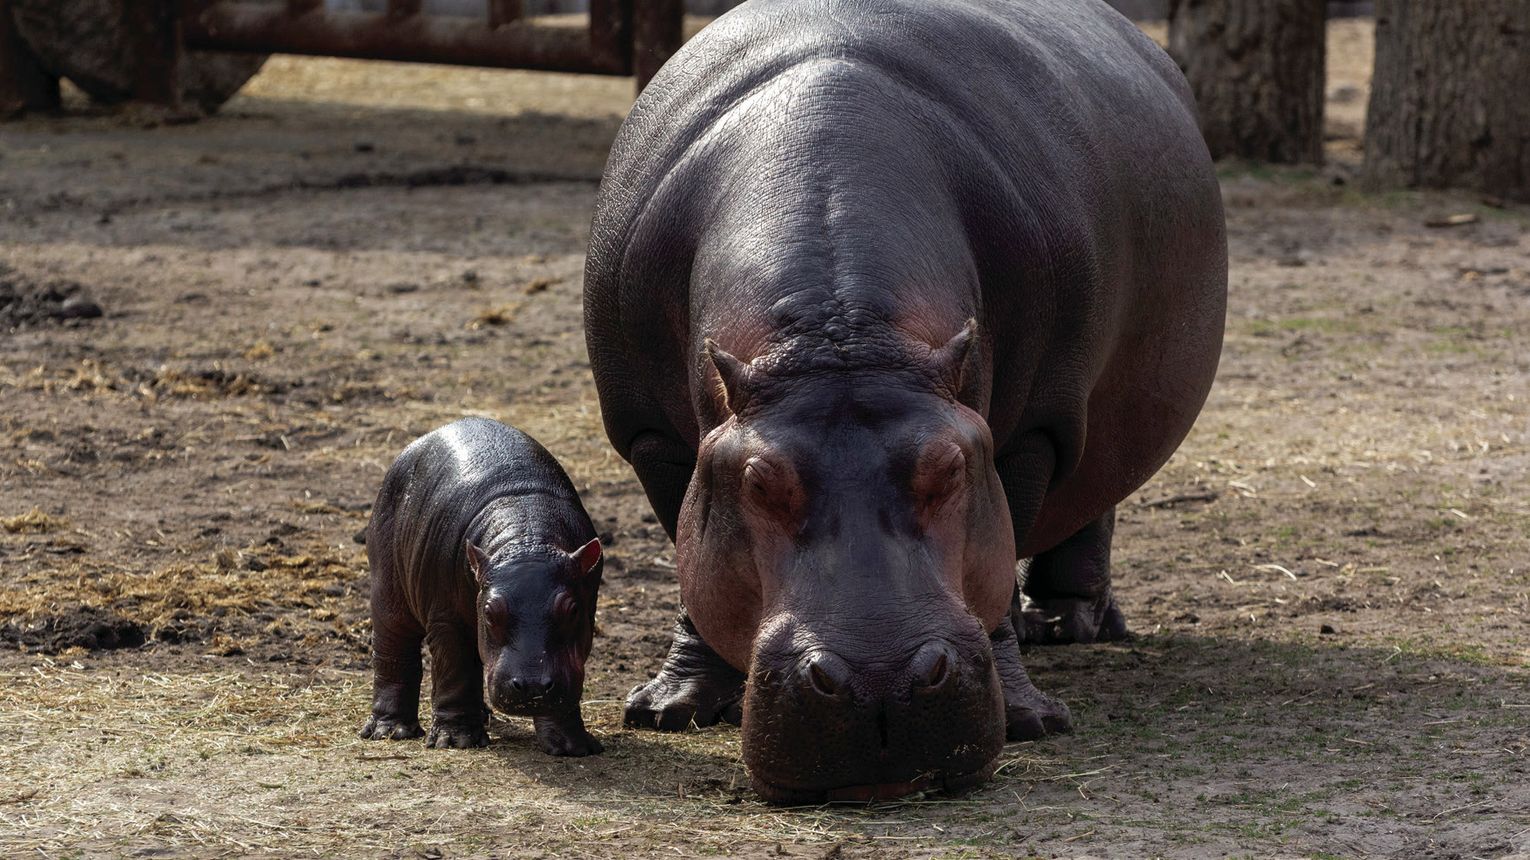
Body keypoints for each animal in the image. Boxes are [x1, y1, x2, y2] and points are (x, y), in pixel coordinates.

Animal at [360, 417, 605, 756]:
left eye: (572, 610)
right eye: (490, 612)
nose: (531, 685)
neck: (527, 534)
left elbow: (567, 679)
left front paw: (573, 746)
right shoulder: (447, 618)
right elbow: (455, 671)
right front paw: (456, 740)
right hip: (388, 590)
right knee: (394, 651)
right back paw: (390, 731)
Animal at [583, 0, 1226, 801]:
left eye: (949, 468)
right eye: (759, 481)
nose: (879, 683)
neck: (841, 336)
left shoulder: (1030, 433)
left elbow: (999, 570)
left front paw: (1030, 719)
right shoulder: (655, 439)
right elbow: (689, 555)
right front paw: (670, 708)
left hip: (1093, 412)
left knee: (1094, 496)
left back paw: (1067, 624)